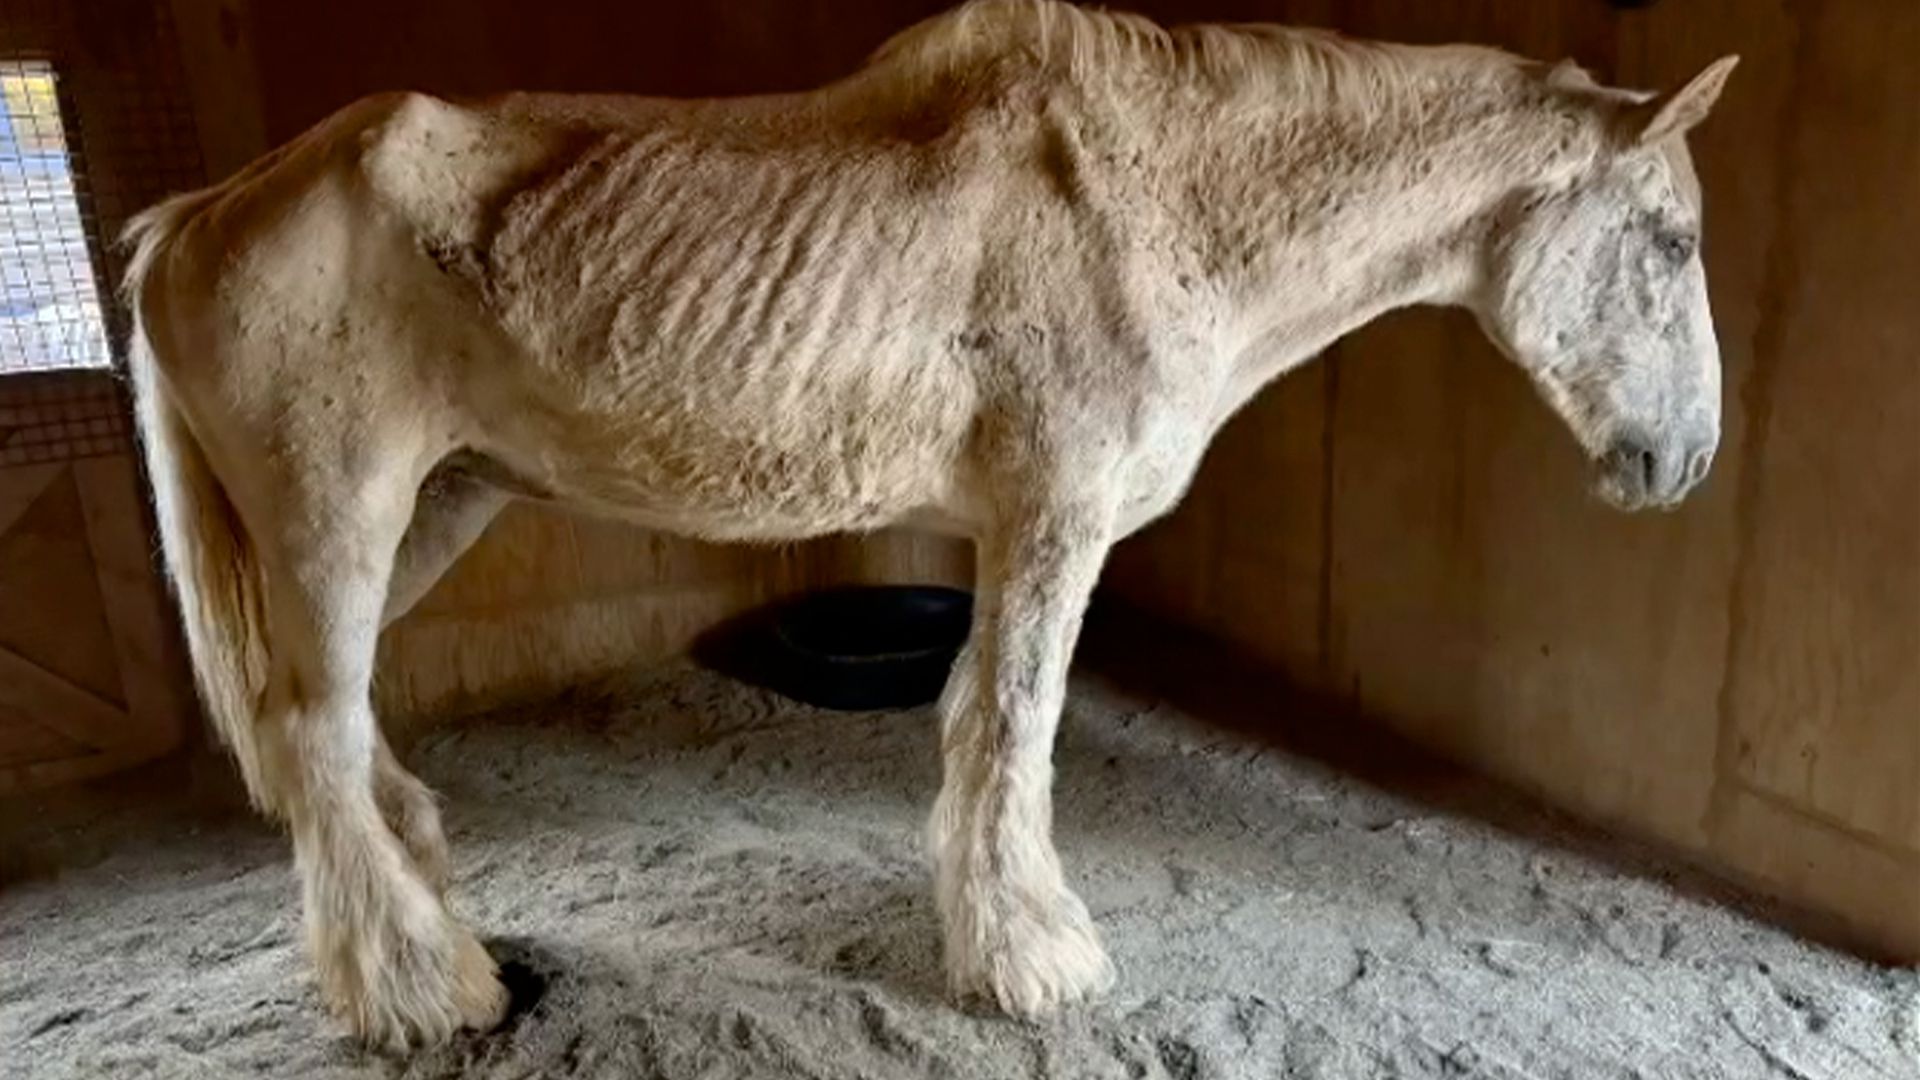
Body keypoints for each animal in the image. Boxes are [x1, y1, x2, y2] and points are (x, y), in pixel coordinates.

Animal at [120, 0, 1734, 1048]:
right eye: (1670, 241)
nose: (1688, 460)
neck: (1157, 198)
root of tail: (197, 214)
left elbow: (979, 718)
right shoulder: (1050, 521)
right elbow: (1009, 724)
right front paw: (1033, 960)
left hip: (431, 510)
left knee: (327, 735)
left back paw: (426, 905)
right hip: (341, 522)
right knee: (313, 732)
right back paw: (422, 988)